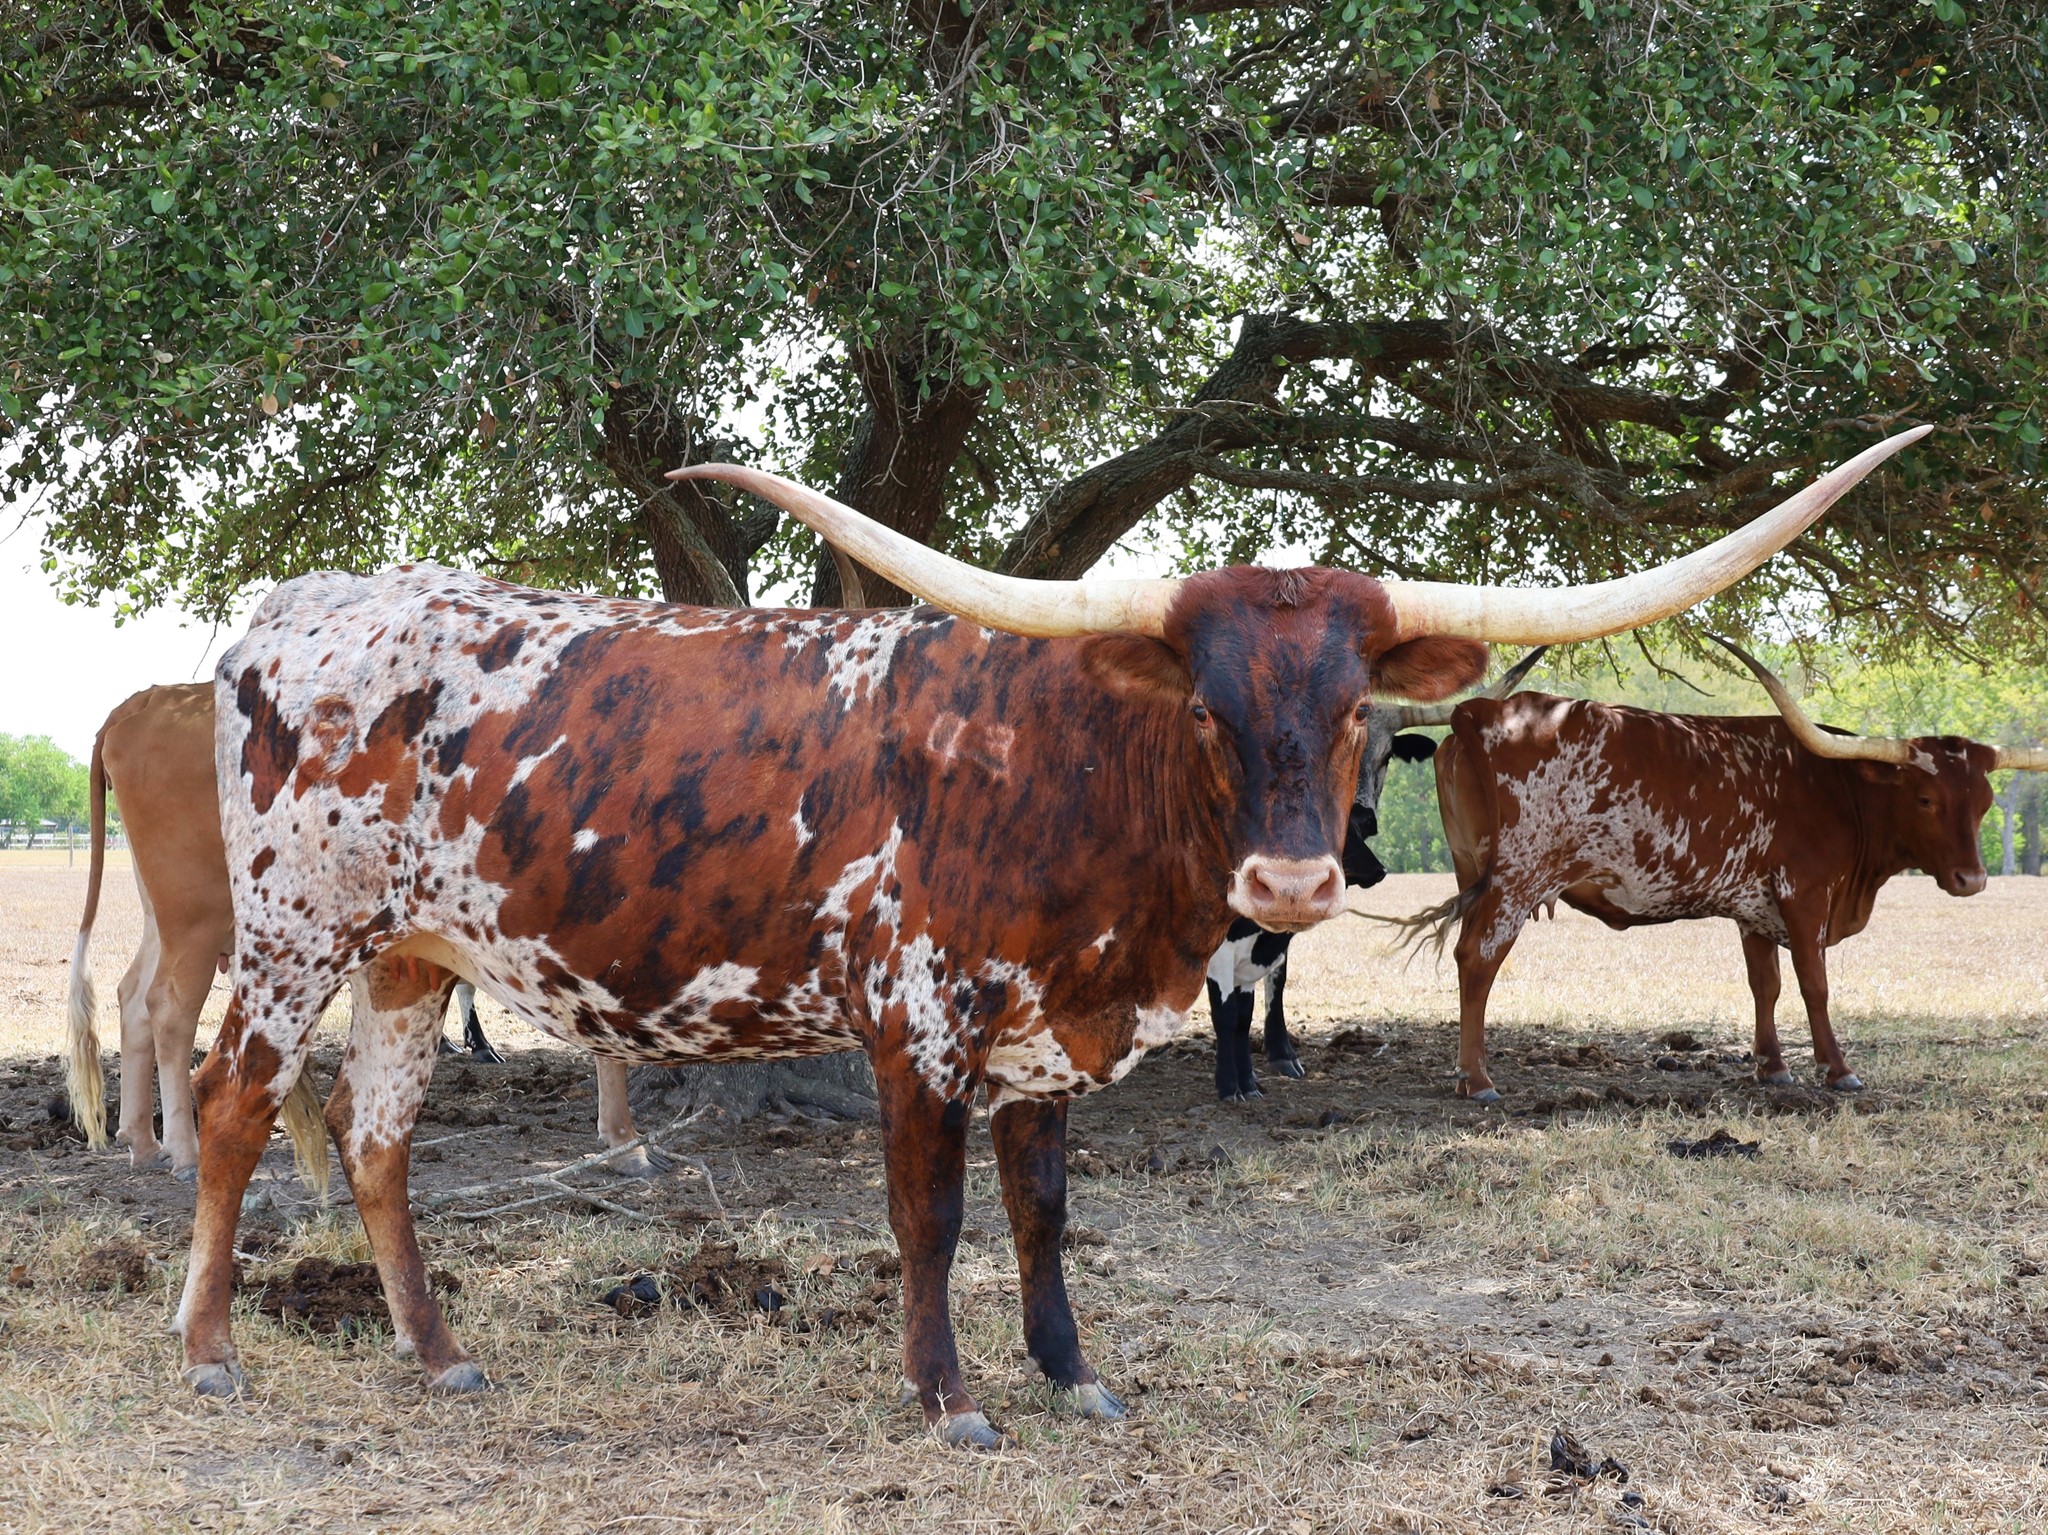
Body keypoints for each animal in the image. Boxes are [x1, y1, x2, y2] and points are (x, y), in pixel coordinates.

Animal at [63, 685, 657, 1182]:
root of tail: (147, 701)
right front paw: (626, 1142)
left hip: (166, 913)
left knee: (132, 994)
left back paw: (142, 1141)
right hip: (196, 911)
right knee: (168, 1007)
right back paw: (184, 1153)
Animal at [1404, 631, 2043, 1103]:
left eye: (1985, 802)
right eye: (1926, 799)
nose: (1972, 880)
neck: (1838, 787)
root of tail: (1479, 712)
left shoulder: (1754, 907)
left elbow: (1766, 984)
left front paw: (1772, 1067)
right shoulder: (1804, 896)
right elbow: (1814, 984)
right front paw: (1837, 1070)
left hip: (1472, 873)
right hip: (1517, 880)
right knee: (1478, 959)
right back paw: (1477, 1080)